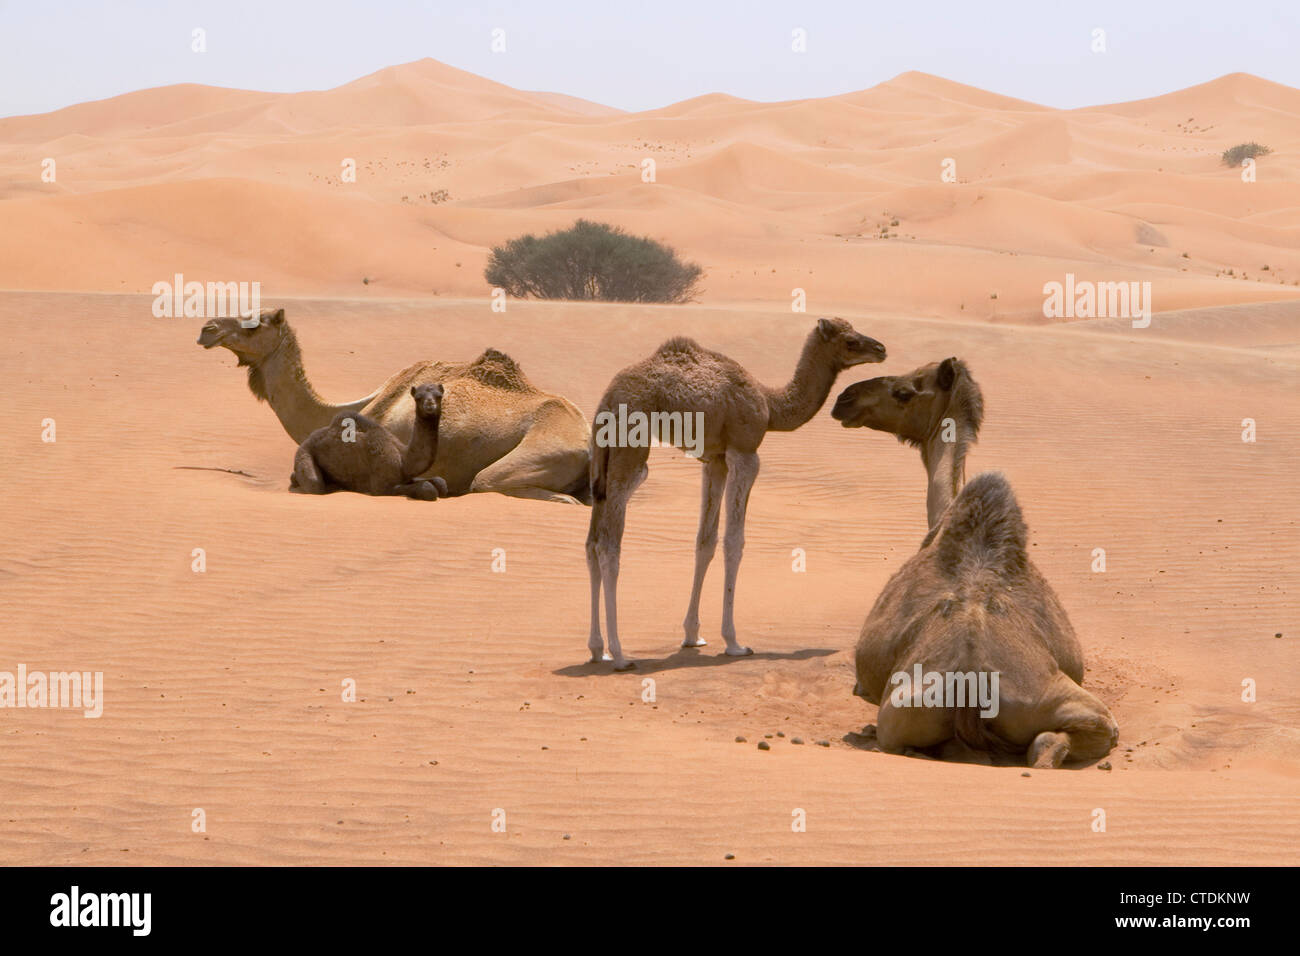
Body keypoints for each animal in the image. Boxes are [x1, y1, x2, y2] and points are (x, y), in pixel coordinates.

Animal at [291, 383, 449, 499]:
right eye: (418, 397)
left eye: (439, 396)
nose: (430, 404)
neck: (404, 460)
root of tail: (306, 440)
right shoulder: (381, 487)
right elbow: (428, 489)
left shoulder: (407, 477)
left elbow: (440, 482)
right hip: (304, 453)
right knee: (314, 484)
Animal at [586, 317, 887, 670]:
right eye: (850, 341)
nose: (881, 348)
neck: (771, 405)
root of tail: (606, 402)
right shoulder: (745, 452)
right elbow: (734, 541)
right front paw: (734, 642)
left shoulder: (714, 459)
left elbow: (705, 541)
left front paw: (693, 635)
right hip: (630, 452)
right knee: (609, 546)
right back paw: (620, 655)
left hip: (601, 462)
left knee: (591, 543)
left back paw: (597, 649)